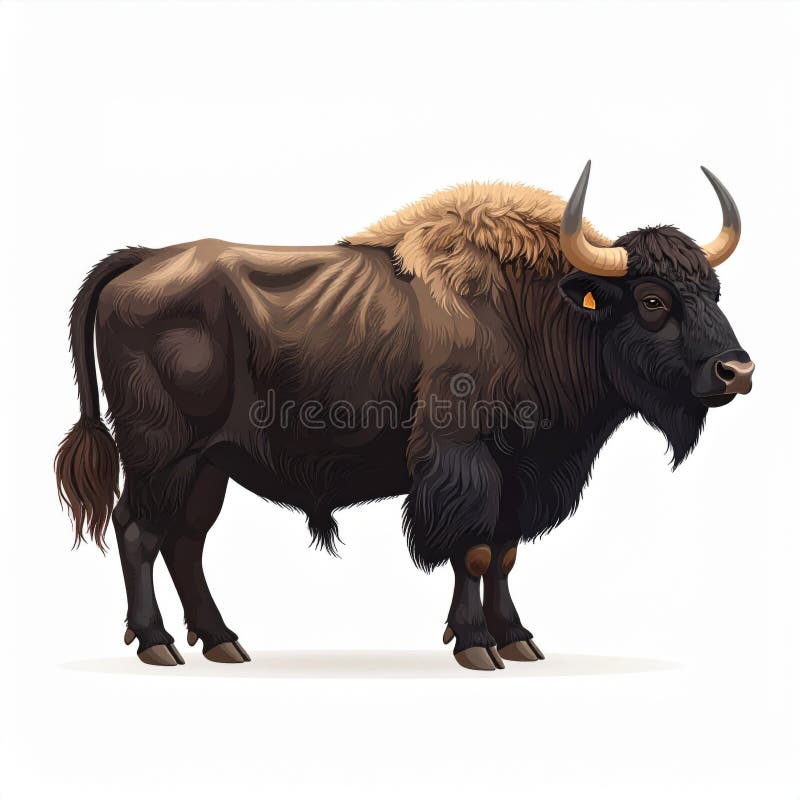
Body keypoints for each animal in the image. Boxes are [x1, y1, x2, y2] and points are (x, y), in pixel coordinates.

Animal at [55, 162, 753, 670]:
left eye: (714, 292)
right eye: (653, 299)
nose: (738, 371)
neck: (532, 310)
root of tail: (143, 258)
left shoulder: (520, 474)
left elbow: (503, 554)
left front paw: (518, 639)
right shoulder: (464, 461)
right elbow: (473, 552)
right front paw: (477, 646)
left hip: (210, 466)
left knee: (185, 542)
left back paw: (223, 641)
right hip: (163, 455)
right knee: (138, 532)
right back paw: (158, 645)